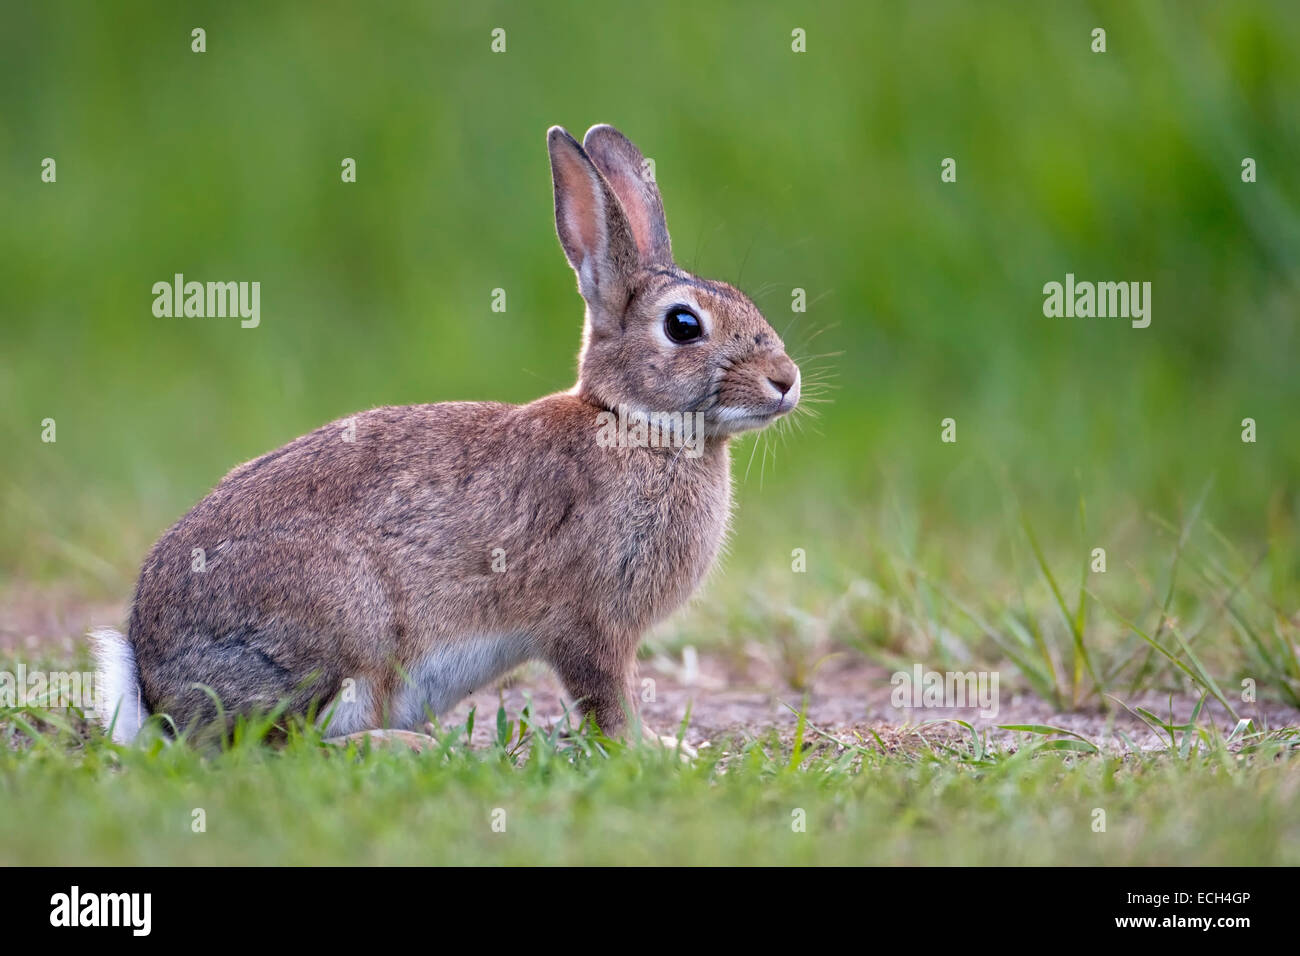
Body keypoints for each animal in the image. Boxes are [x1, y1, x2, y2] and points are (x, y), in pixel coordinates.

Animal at [92, 124, 800, 747]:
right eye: (683, 325)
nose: (786, 381)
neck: (631, 421)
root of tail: (154, 692)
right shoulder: (588, 623)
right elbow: (606, 698)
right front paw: (653, 751)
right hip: (344, 627)